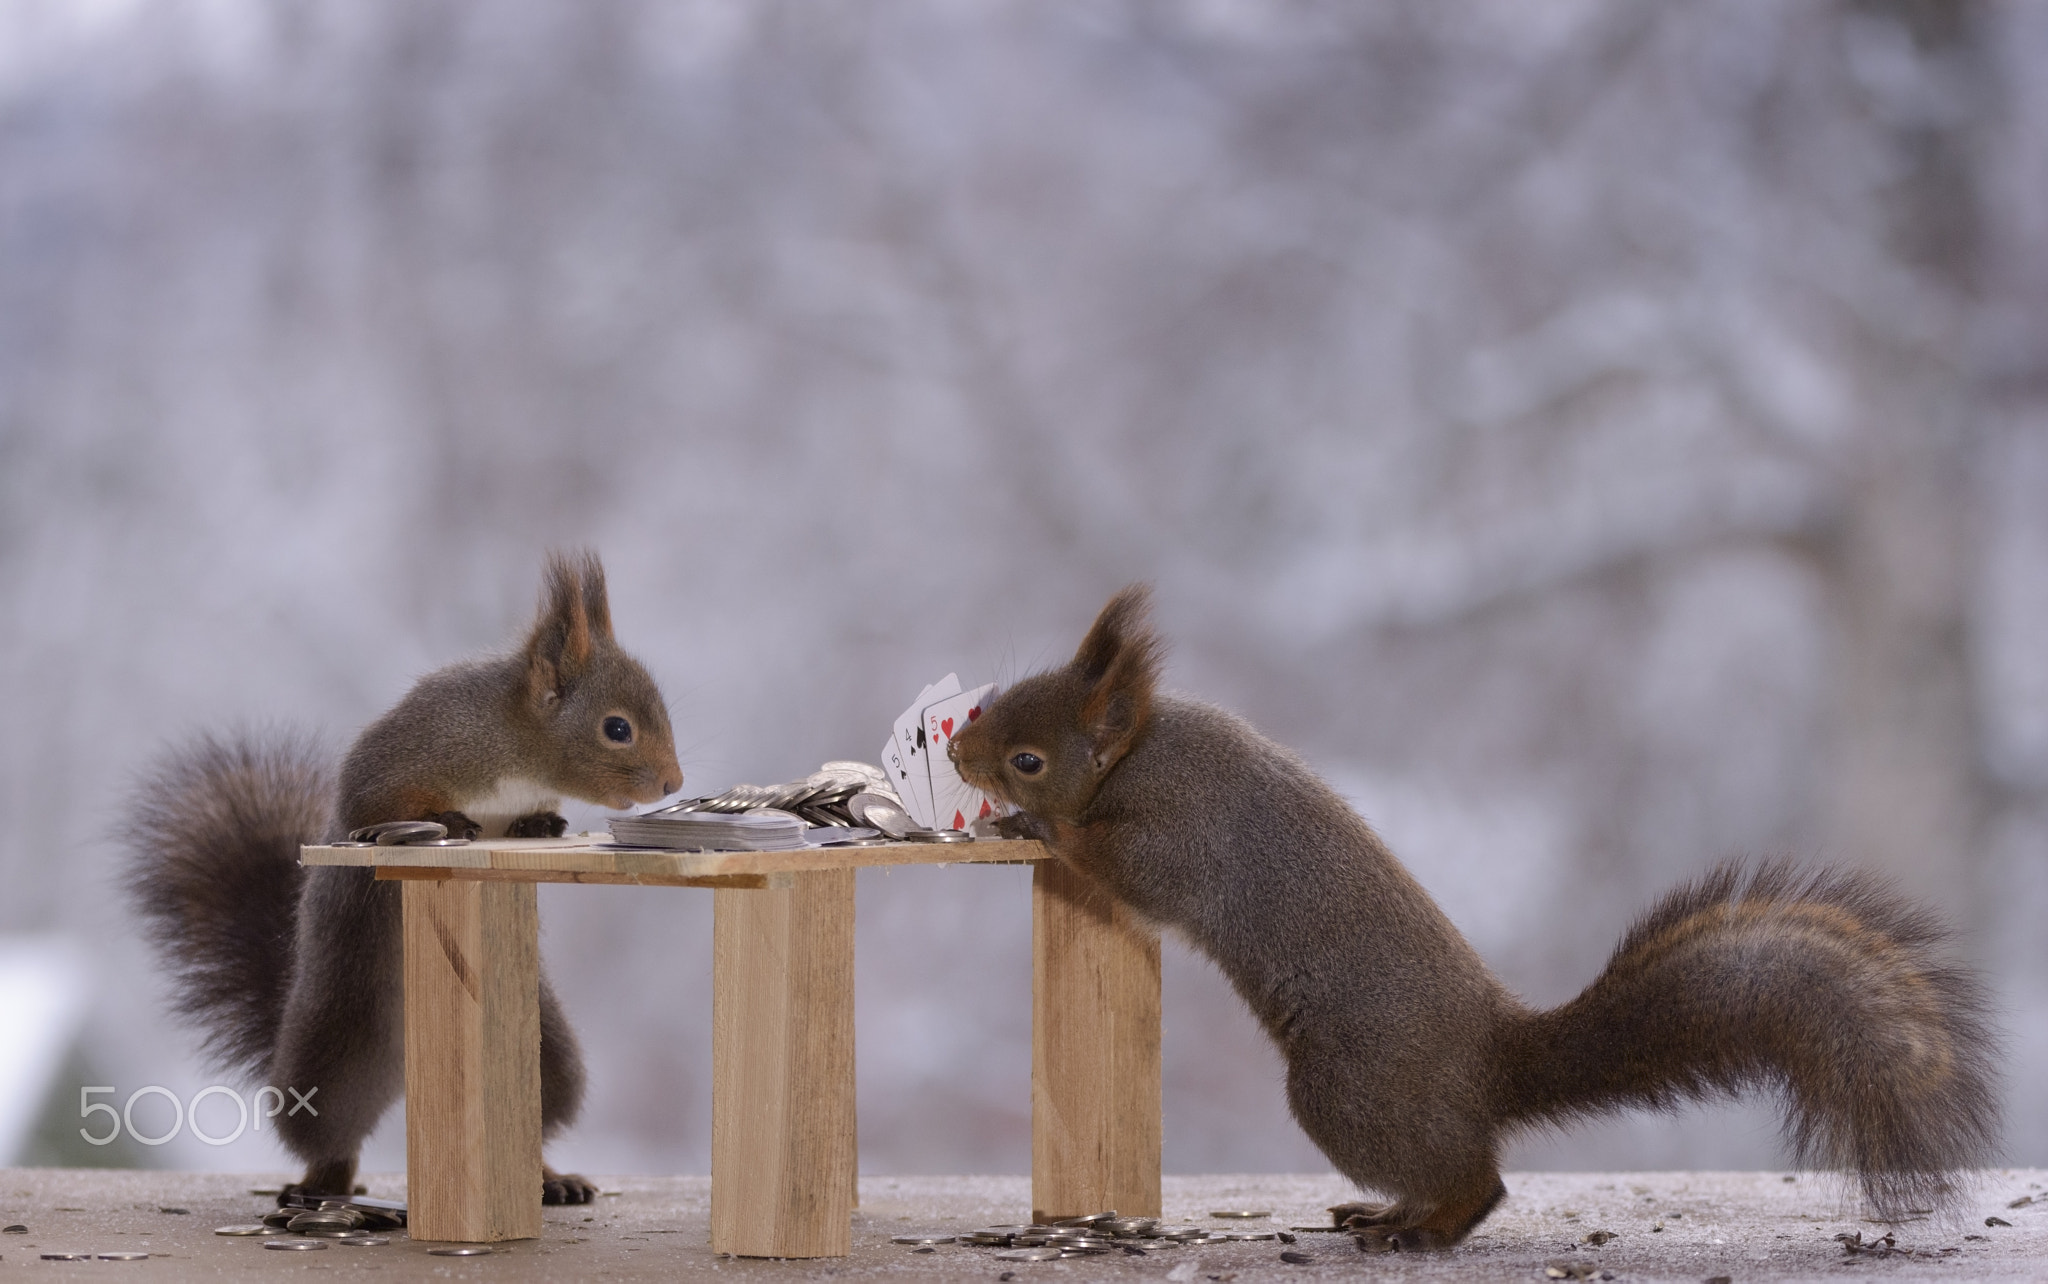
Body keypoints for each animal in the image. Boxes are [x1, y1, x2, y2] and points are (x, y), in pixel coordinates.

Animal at [123, 551, 683, 1206]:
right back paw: (318, 1189)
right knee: (331, 1135)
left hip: (547, 1056)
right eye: (617, 729)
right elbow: (374, 808)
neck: (516, 745)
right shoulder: (407, 753)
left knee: (529, 1125)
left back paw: (551, 1179)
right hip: (334, 1047)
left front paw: (540, 823)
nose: (672, 783)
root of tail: (401, 1075)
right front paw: (445, 821)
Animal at [949, 585, 2001, 1251]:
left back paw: (1423, 1229)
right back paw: (1384, 1216)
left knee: (1477, 1181)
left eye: (1031, 757)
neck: (1138, 755)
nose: (958, 752)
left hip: (1348, 1090)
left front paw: (1038, 826)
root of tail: (1492, 1062)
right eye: (1005, 695)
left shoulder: (1180, 836)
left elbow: (1125, 870)